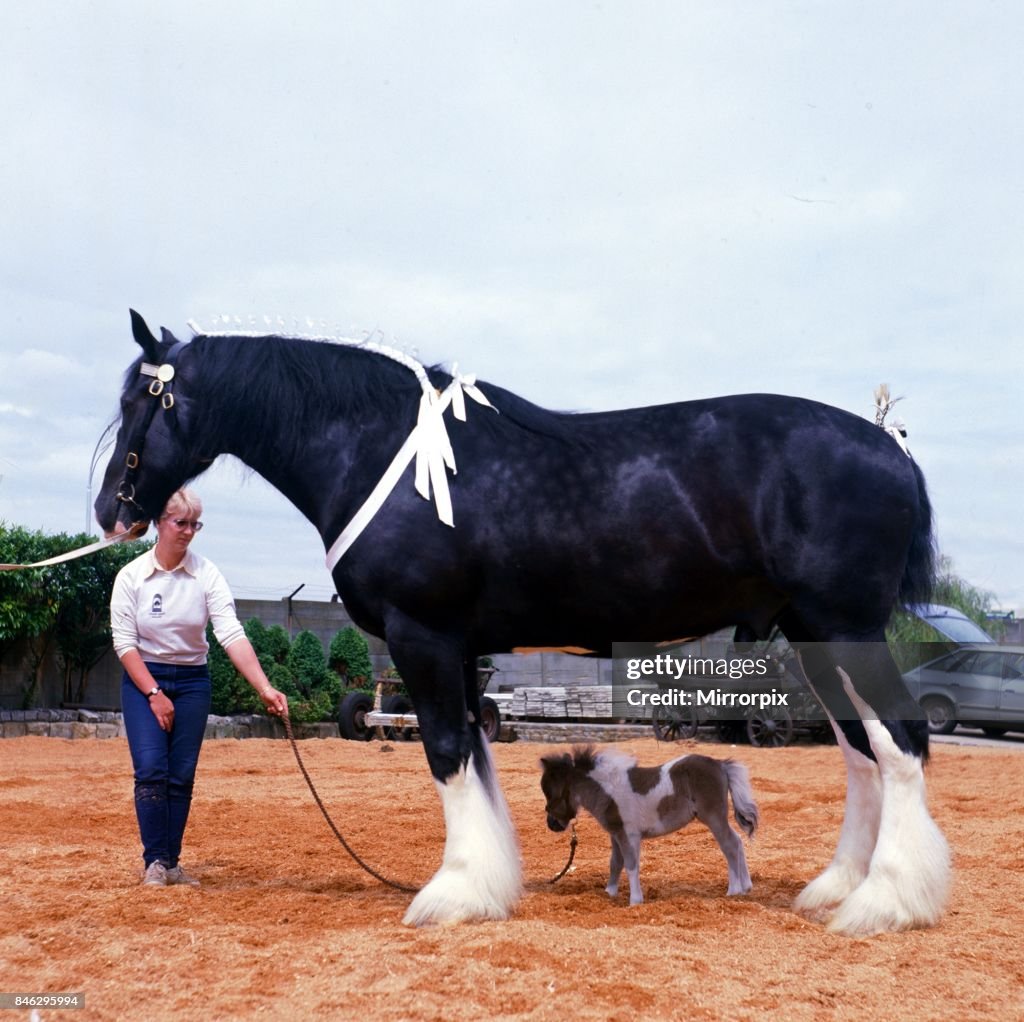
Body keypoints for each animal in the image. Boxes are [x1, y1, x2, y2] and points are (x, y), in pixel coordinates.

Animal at [540, 746, 758, 904]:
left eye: (551, 793)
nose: (552, 824)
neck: (609, 791)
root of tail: (720, 765)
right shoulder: (616, 834)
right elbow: (615, 863)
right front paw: (609, 893)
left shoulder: (629, 835)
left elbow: (631, 864)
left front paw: (635, 900)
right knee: (737, 841)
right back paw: (746, 887)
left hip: (713, 817)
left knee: (729, 845)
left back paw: (733, 890)